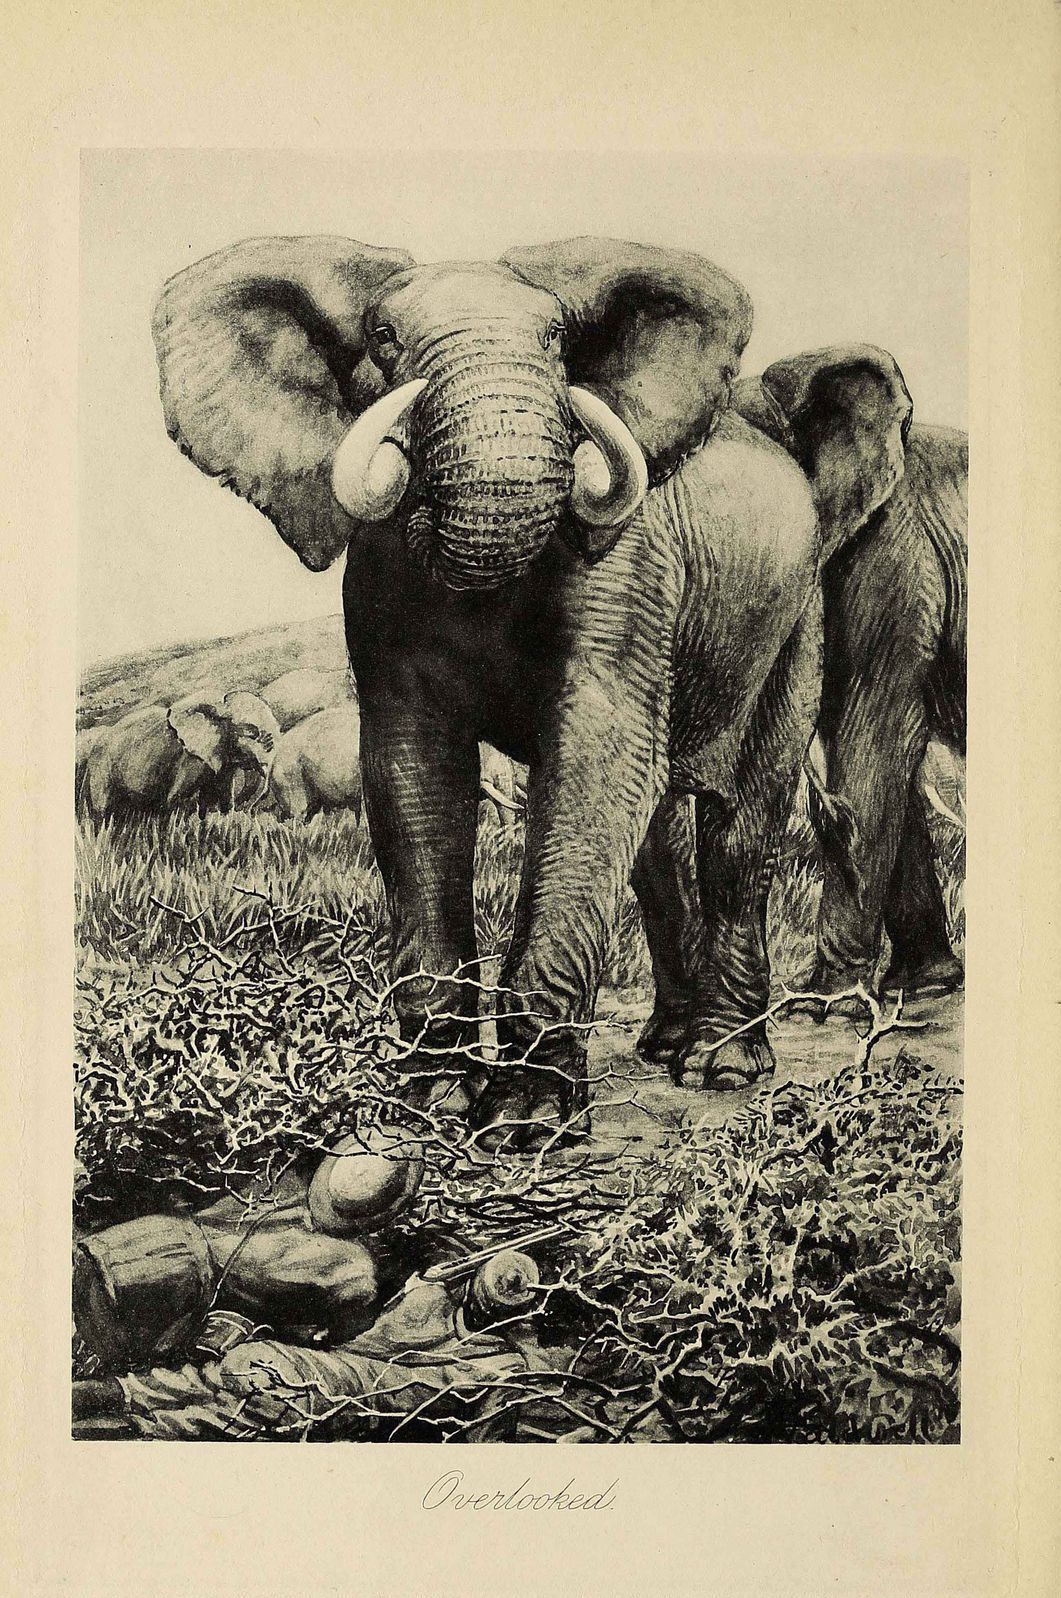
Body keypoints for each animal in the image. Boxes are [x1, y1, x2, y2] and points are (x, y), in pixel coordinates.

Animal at [77, 690, 280, 819]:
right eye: (252, 732)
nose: (251, 811)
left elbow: (222, 796)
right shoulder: (189, 760)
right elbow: (176, 799)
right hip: (100, 770)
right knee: (102, 811)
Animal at [152, 234, 912, 1142]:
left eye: (556, 339)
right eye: (383, 339)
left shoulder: (630, 564)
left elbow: (593, 767)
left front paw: (526, 1120)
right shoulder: (377, 589)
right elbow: (414, 780)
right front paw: (425, 1108)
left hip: (790, 619)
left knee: (737, 828)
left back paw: (720, 1065)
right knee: (656, 844)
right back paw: (663, 1046)